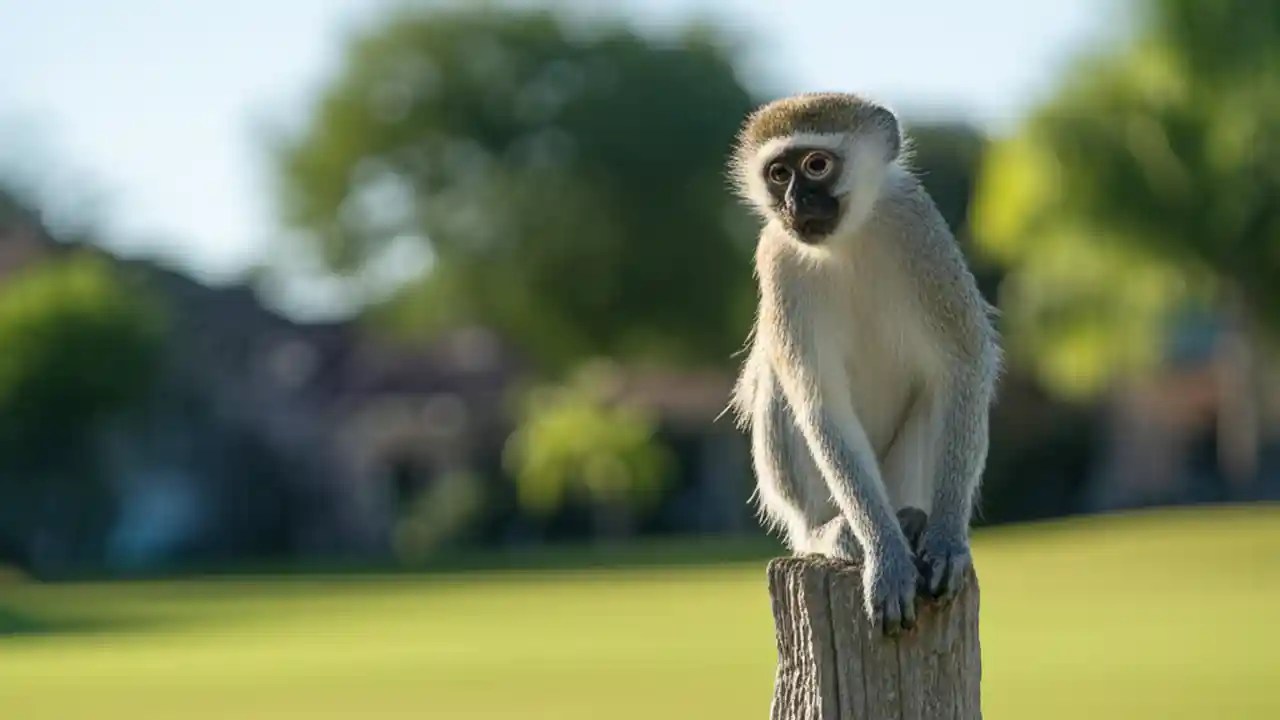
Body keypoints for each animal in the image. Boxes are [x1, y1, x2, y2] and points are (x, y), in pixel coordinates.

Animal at [726, 93, 1001, 636]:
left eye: (816, 165)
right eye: (778, 174)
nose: (795, 204)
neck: (846, 240)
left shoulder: (920, 231)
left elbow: (962, 368)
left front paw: (947, 539)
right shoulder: (778, 260)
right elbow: (821, 407)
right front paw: (886, 557)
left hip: (901, 480)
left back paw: (916, 521)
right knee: (780, 388)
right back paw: (832, 534)